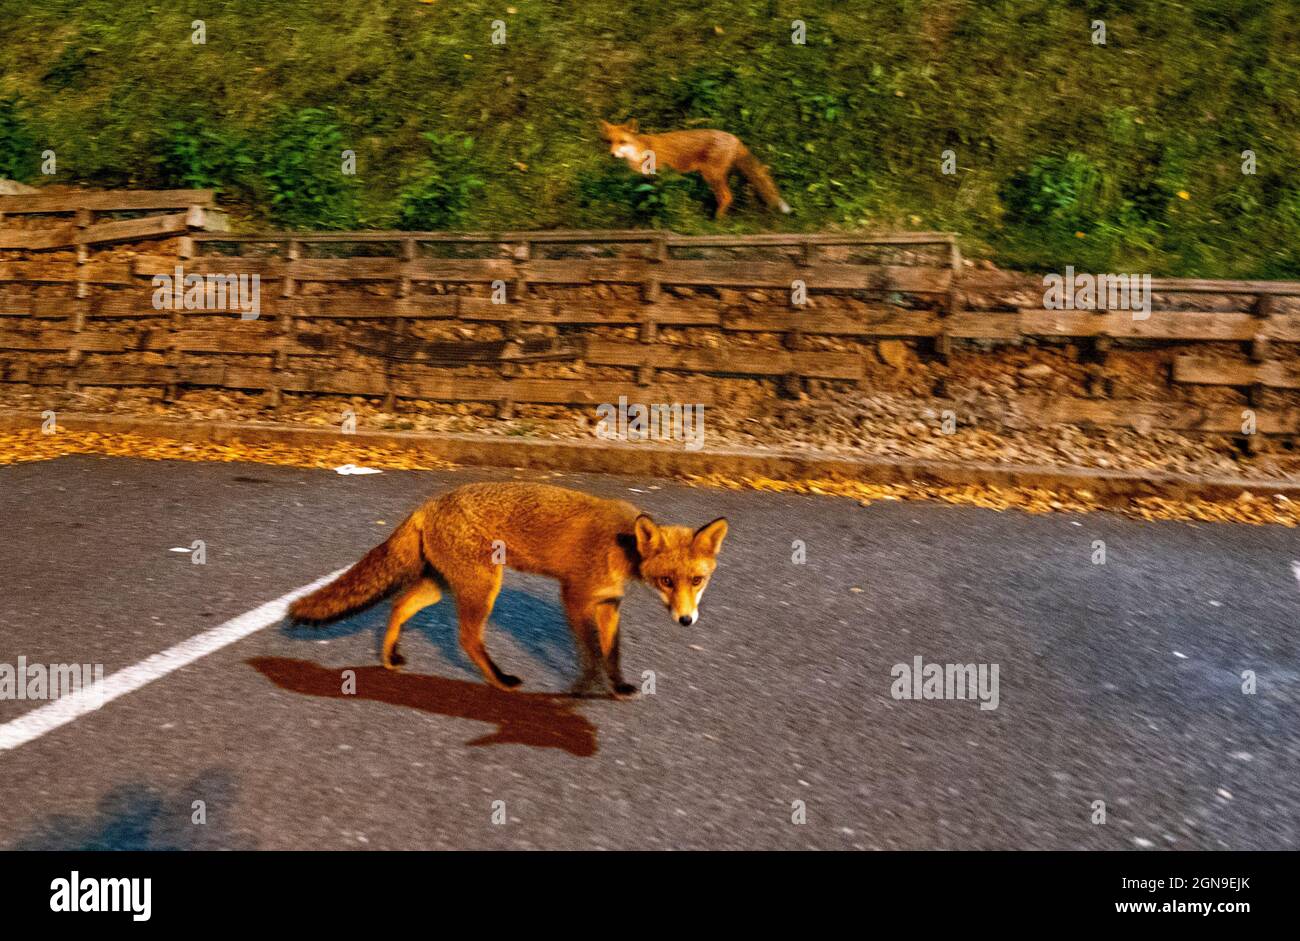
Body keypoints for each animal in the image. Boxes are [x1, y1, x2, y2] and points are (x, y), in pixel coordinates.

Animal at [289, 482, 728, 699]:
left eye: (697, 580)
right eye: (667, 581)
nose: (686, 620)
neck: (622, 548)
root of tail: (429, 503)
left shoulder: (608, 603)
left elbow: (612, 653)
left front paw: (617, 687)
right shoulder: (574, 597)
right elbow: (589, 653)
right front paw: (582, 690)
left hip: (441, 585)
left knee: (399, 604)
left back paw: (388, 657)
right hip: (484, 586)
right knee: (467, 638)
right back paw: (500, 681)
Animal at [599, 118, 791, 219]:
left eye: (622, 142)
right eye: (609, 142)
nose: (612, 154)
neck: (641, 152)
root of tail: (734, 137)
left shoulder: (658, 177)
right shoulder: (646, 180)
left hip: (711, 176)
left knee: (727, 197)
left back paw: (715, 223)